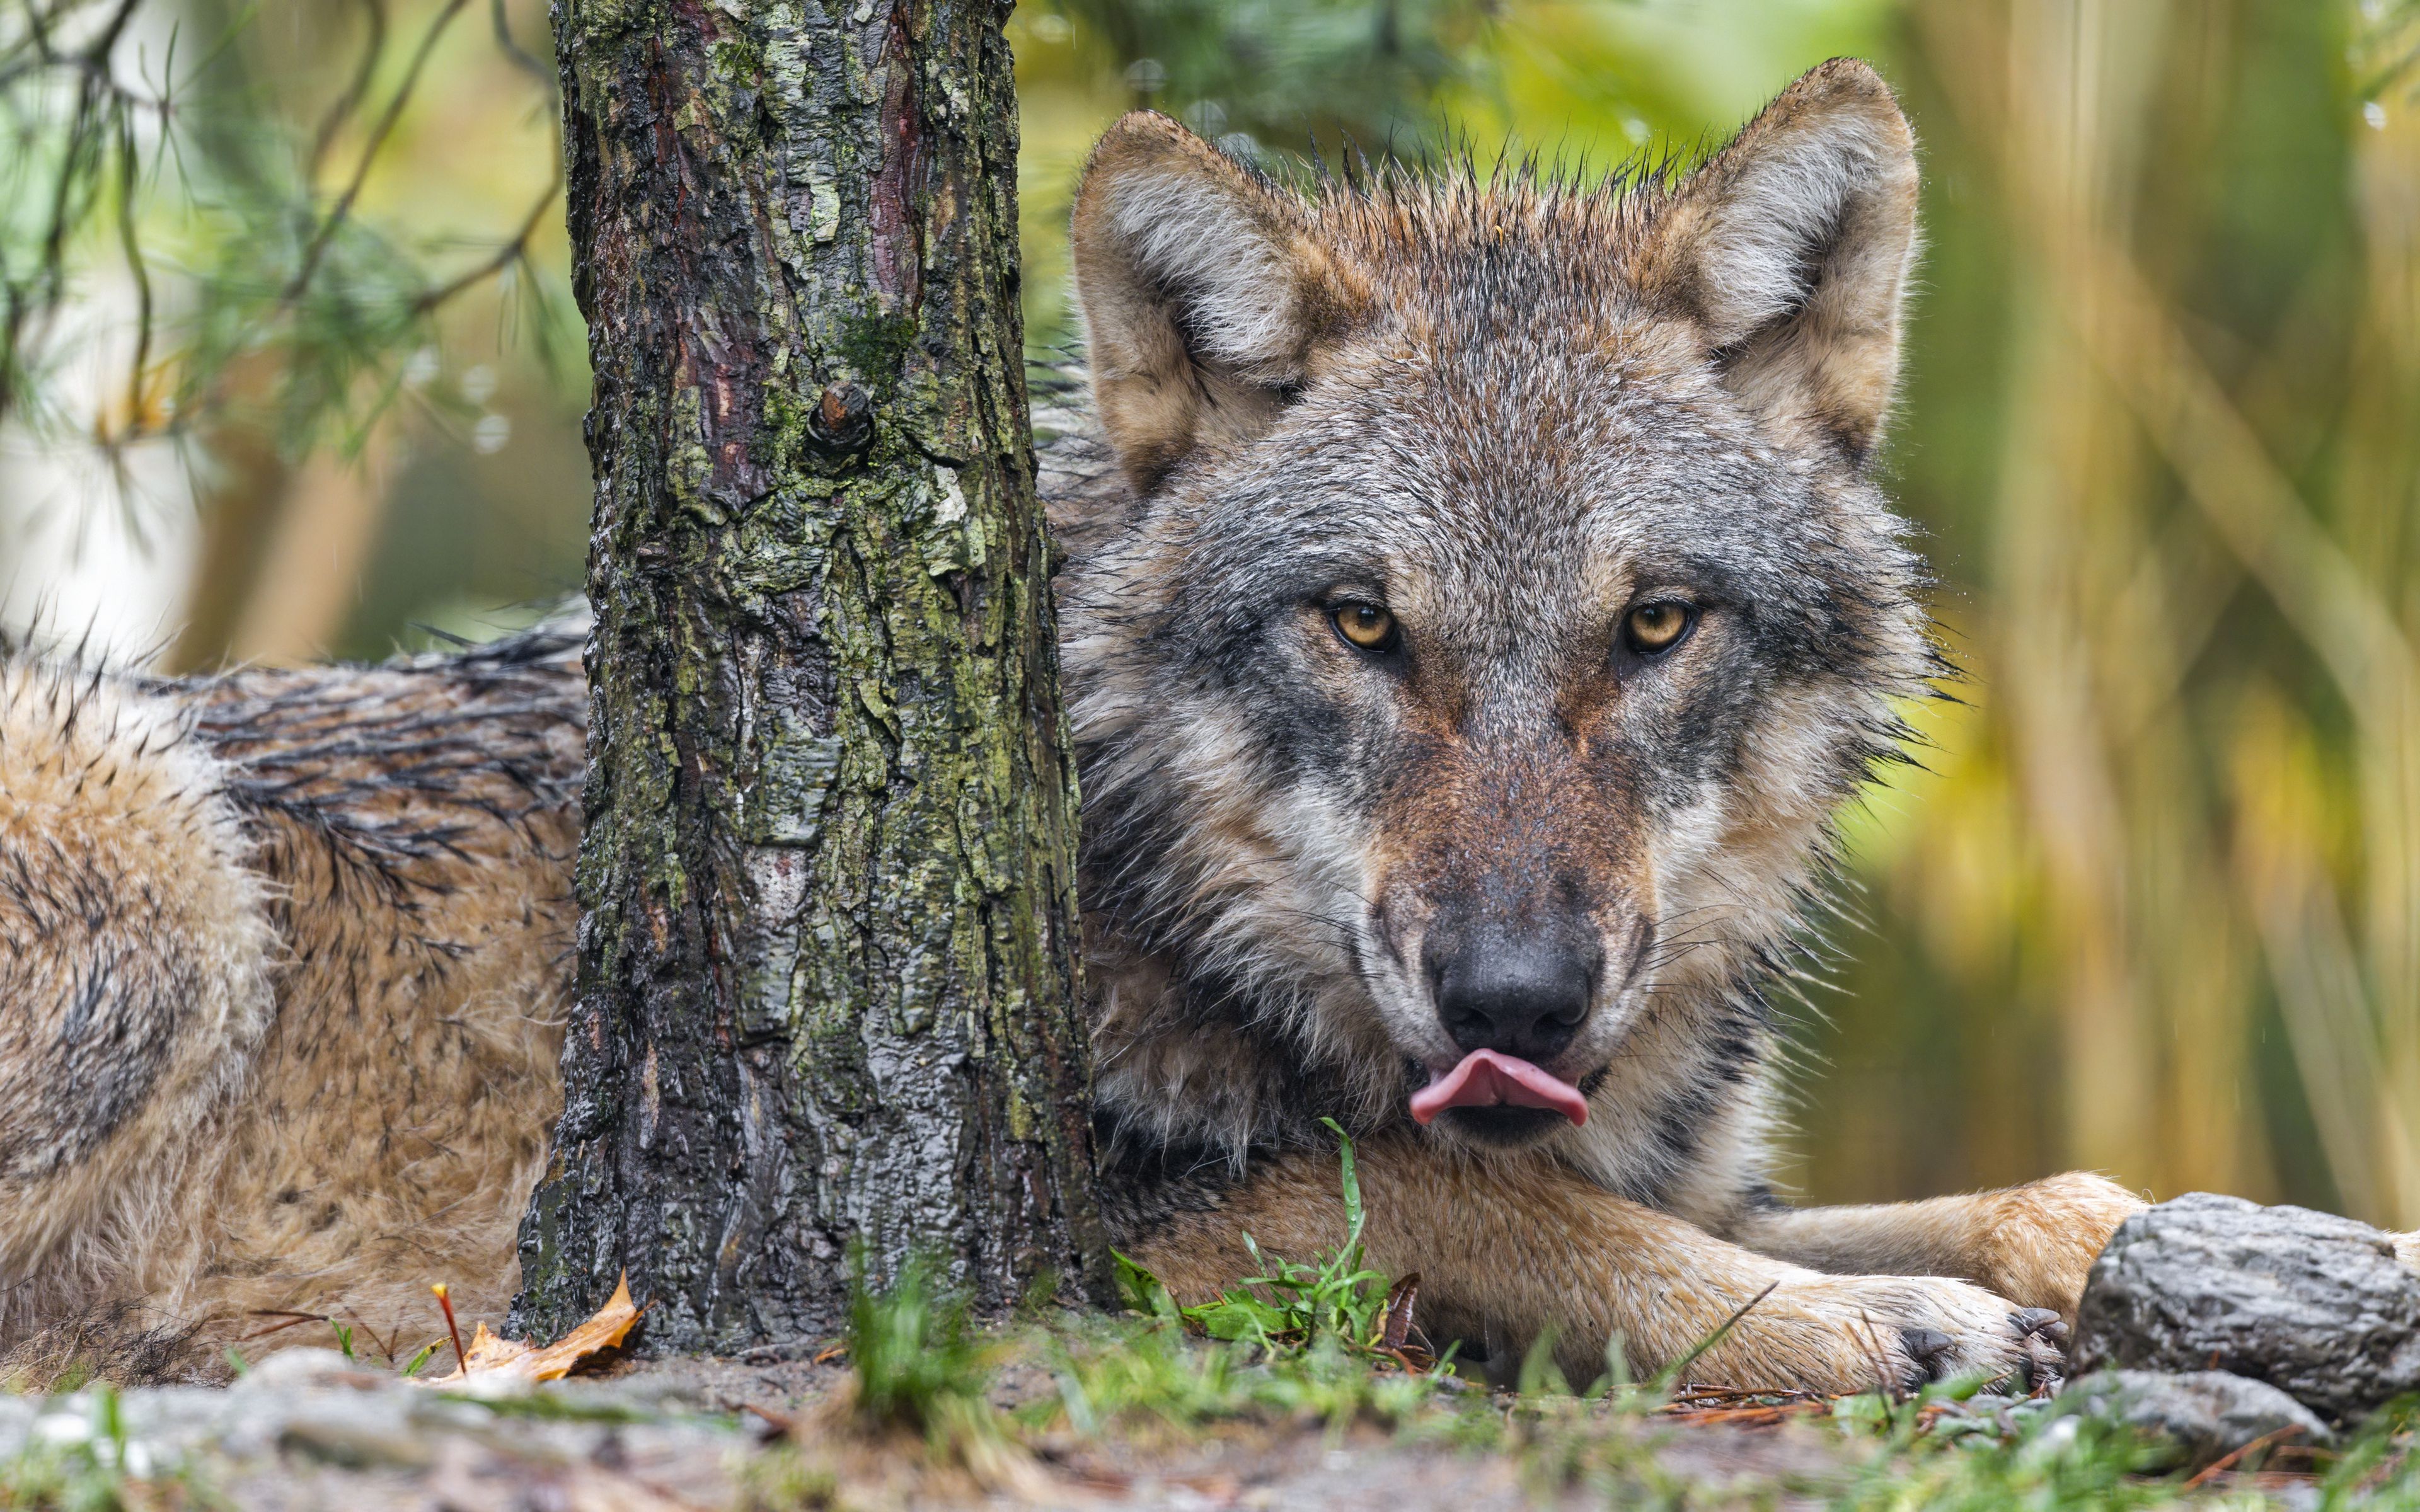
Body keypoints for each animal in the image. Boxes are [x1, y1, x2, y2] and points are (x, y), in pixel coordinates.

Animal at [5, 60, 2338, 1388]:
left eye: (1656, 626)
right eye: (1362, 626)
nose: (1512, 992)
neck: (1140, 888)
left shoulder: (1684, 1158)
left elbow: (2035, 1194)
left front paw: (2157, 1248)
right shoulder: (1103, 1239)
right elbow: (1479, 1205)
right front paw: (1874, 1326)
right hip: (154, 839)